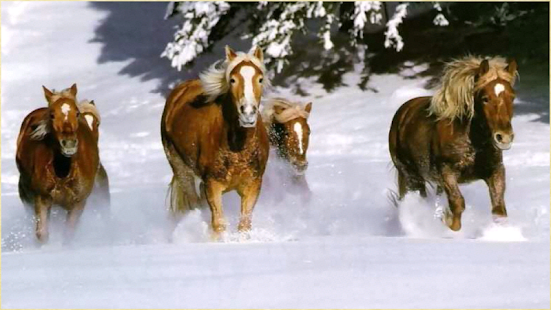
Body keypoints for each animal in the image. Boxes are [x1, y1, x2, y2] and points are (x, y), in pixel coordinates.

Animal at [15, 84, 100, 242]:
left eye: (77, 113)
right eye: (52, 115)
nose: (69, 144)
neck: (63, 172)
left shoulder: (78, 203)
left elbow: (68, 234)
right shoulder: (41, 198)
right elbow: (42, 234)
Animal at [161, 44, 270, 236]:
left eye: (260, 79)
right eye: (233, 80)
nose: (248, 112)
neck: (238, 149)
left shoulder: (253, 184)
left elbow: (244, 225)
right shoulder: (213, 185)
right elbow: (219, 224)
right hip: (181, 169)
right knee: (194, 202)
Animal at [390, 56, 520, 230]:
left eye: (512, 97)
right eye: (485, 99)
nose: (504, 137)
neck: (473, 144)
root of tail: (403, 111)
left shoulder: (496, 170)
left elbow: (499, 209)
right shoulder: (447, 172)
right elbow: (458, 204)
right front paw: (447, 223)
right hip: (410, 174)